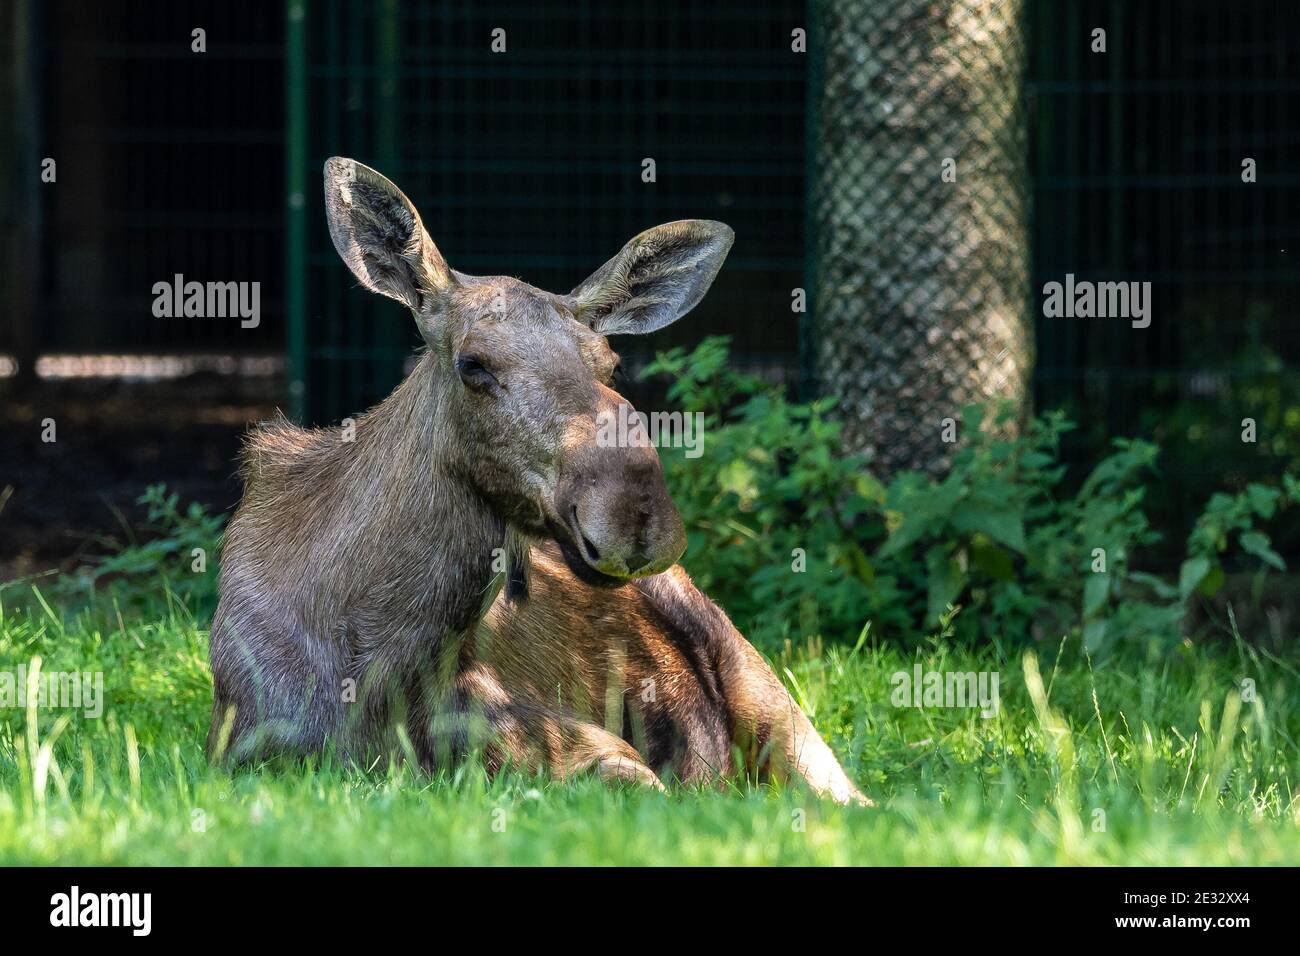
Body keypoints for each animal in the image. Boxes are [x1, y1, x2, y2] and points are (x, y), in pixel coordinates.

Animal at [206, 157, 868, 806]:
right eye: (473, 365)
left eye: (610, 364)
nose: (635, 517)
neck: (374, 669)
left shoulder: (587, 747)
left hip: (775, 706)